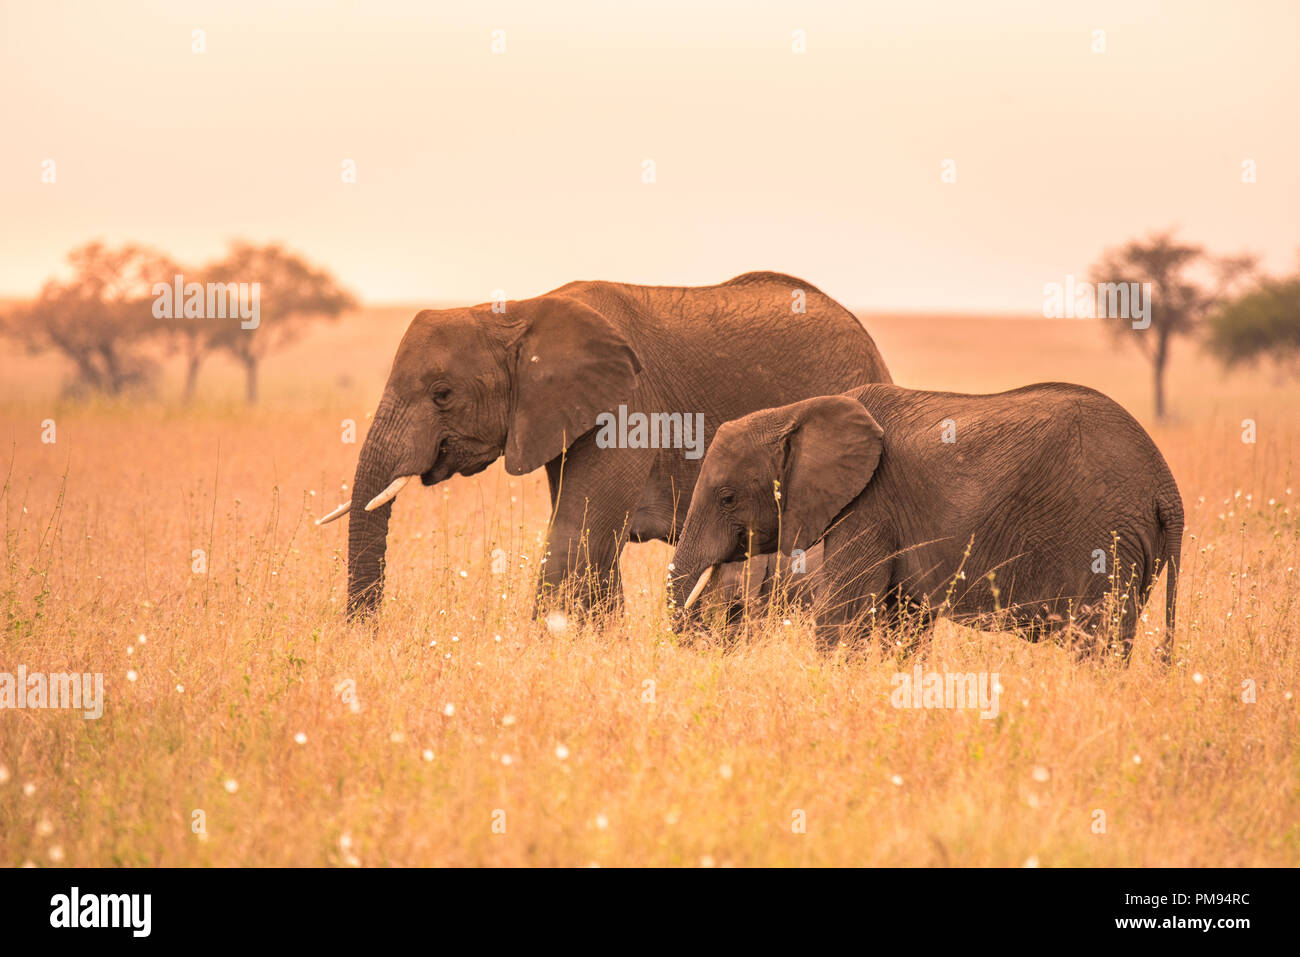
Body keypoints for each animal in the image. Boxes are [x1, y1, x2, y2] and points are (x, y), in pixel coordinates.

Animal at [316, 272, 892, 619]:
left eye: (442, 394)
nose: (366, 638)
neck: (517, 312)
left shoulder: (627, 406)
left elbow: (577, 535)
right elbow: (593, 539)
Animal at [672, 382, 1184, 660]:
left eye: (727, 497)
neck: (797, 412)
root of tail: (1167, 489)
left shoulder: (870, 505)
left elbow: (843, 615)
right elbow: (906, 624)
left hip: (1107, 541)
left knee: (1095, 641)